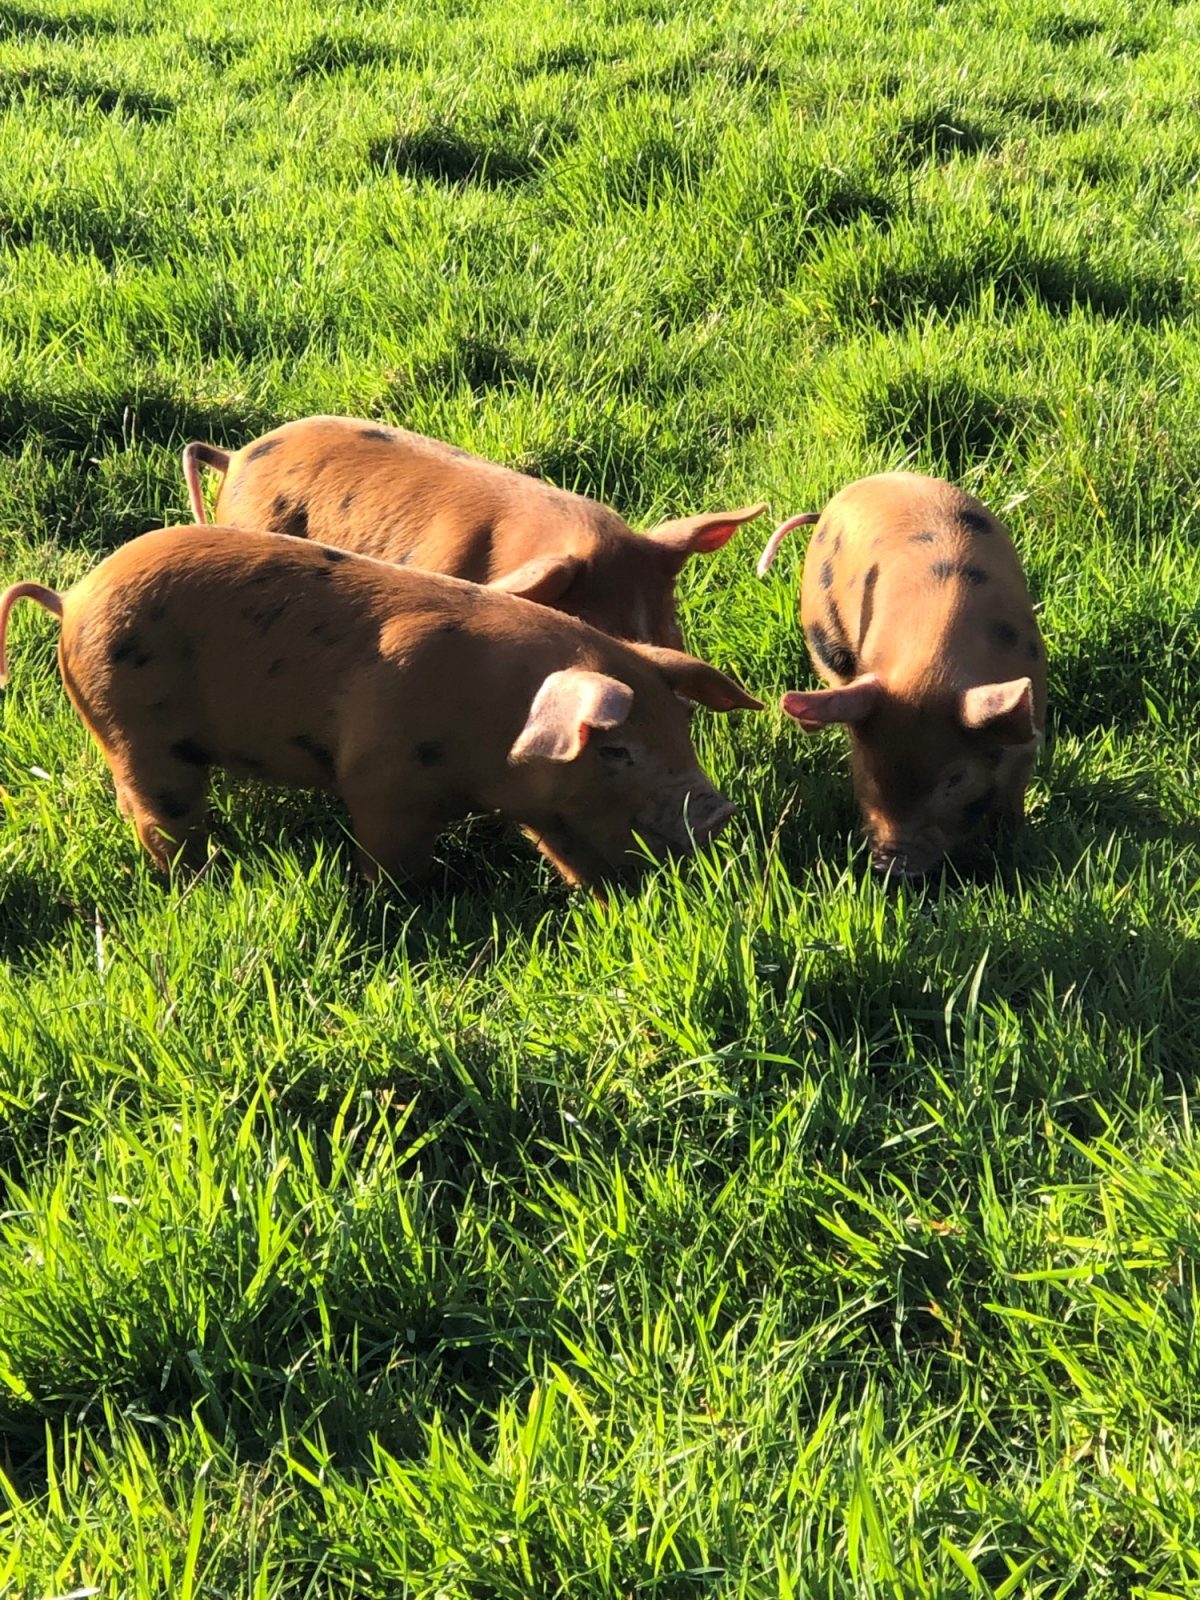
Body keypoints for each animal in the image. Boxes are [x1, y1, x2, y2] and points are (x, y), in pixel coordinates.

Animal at [0, 527, 761, 889]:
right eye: (616, 748)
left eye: (684, 728)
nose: (718, 810)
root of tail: (71, 598)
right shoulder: (379, 780)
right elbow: (391, 860)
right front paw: (399, 904)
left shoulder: (549, 803)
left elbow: (573, 851)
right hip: (142, 736)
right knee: (163, 821)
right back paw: (197, 880)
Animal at [757, 472, 1047, 878]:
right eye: (866, 768)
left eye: (955, 779)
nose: (890, 865)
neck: (931, 670)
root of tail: (836, 502)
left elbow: (1011, 804)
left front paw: (1014, 849)